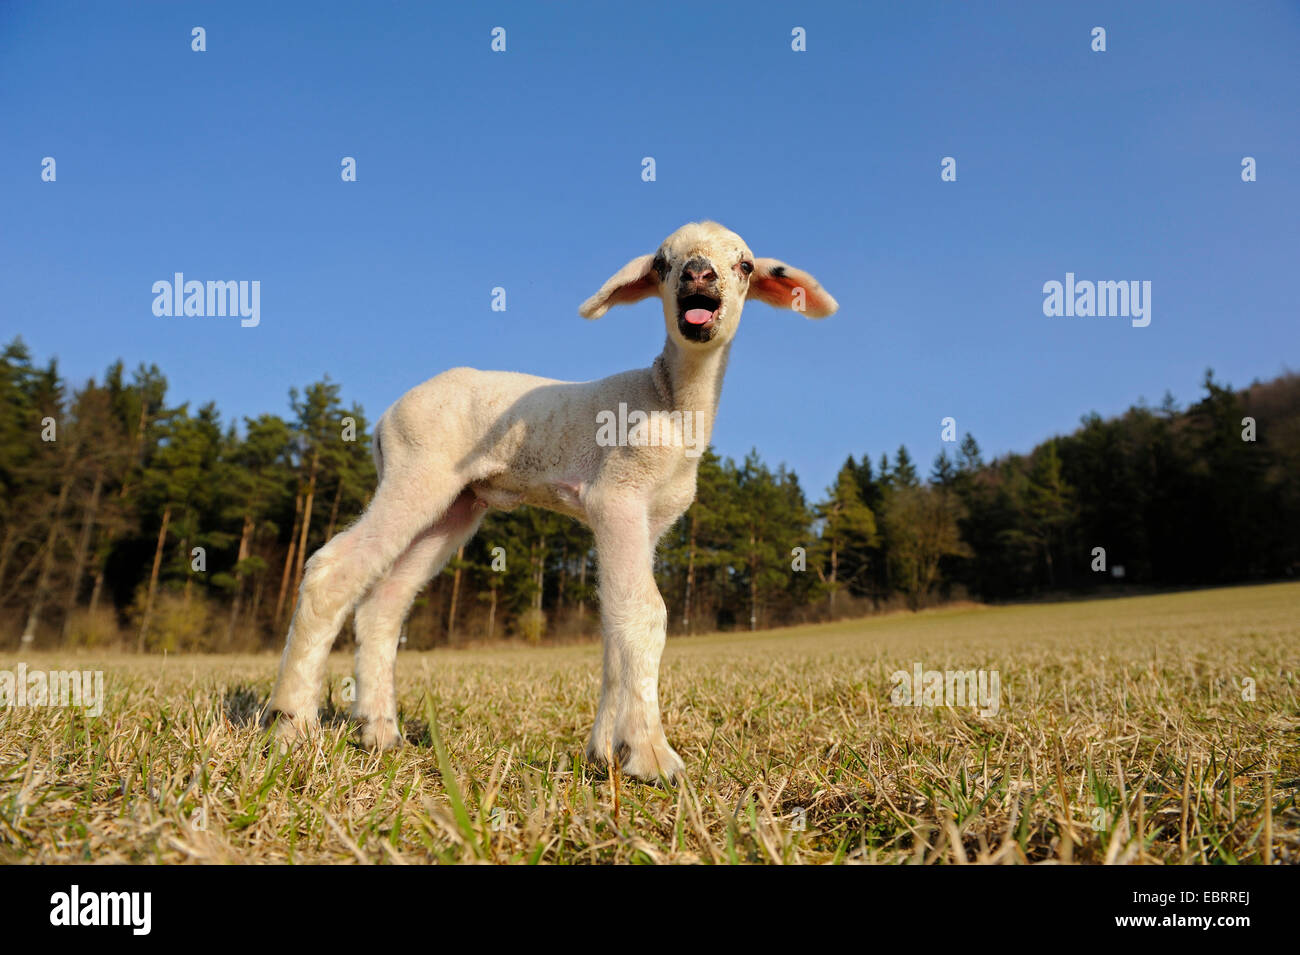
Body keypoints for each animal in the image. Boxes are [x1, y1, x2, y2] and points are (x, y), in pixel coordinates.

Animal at [265, 221, 838, 782]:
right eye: (661, 263)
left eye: (745, 264)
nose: (698, 273)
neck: (671, 405)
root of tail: (384, 421)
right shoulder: (617, 495)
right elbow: (644, 613)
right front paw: (653, 757)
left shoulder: (648, 520)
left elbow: (615, 619)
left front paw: (605, 751)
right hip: (416, 471)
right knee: (332, 569)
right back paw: (292, 726)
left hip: (454, 504)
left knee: (383, 603)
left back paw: (380, 732)